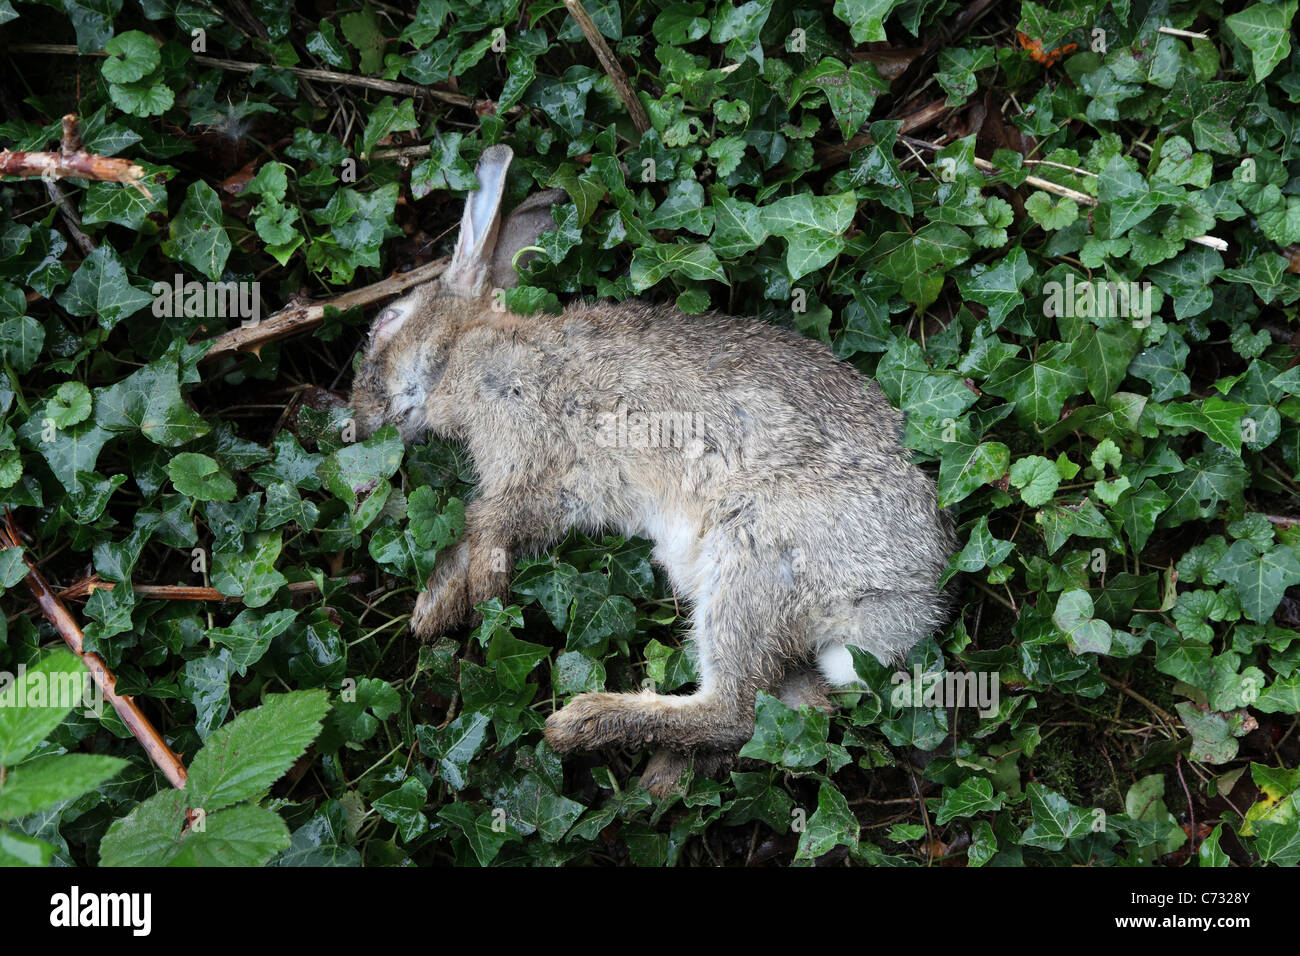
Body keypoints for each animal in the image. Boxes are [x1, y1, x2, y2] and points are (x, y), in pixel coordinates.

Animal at [351, 144, 956, 796]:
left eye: (387, 320)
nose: (353, 425)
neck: (467, 350)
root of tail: (902, 608)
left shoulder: (541, 459)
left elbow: (484, 520)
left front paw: (476, 591)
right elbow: (473, 528)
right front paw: (434, 611)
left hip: (752, 558)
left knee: (733, 710)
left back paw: (581, 722)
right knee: (784, 710)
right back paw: (662, 771)